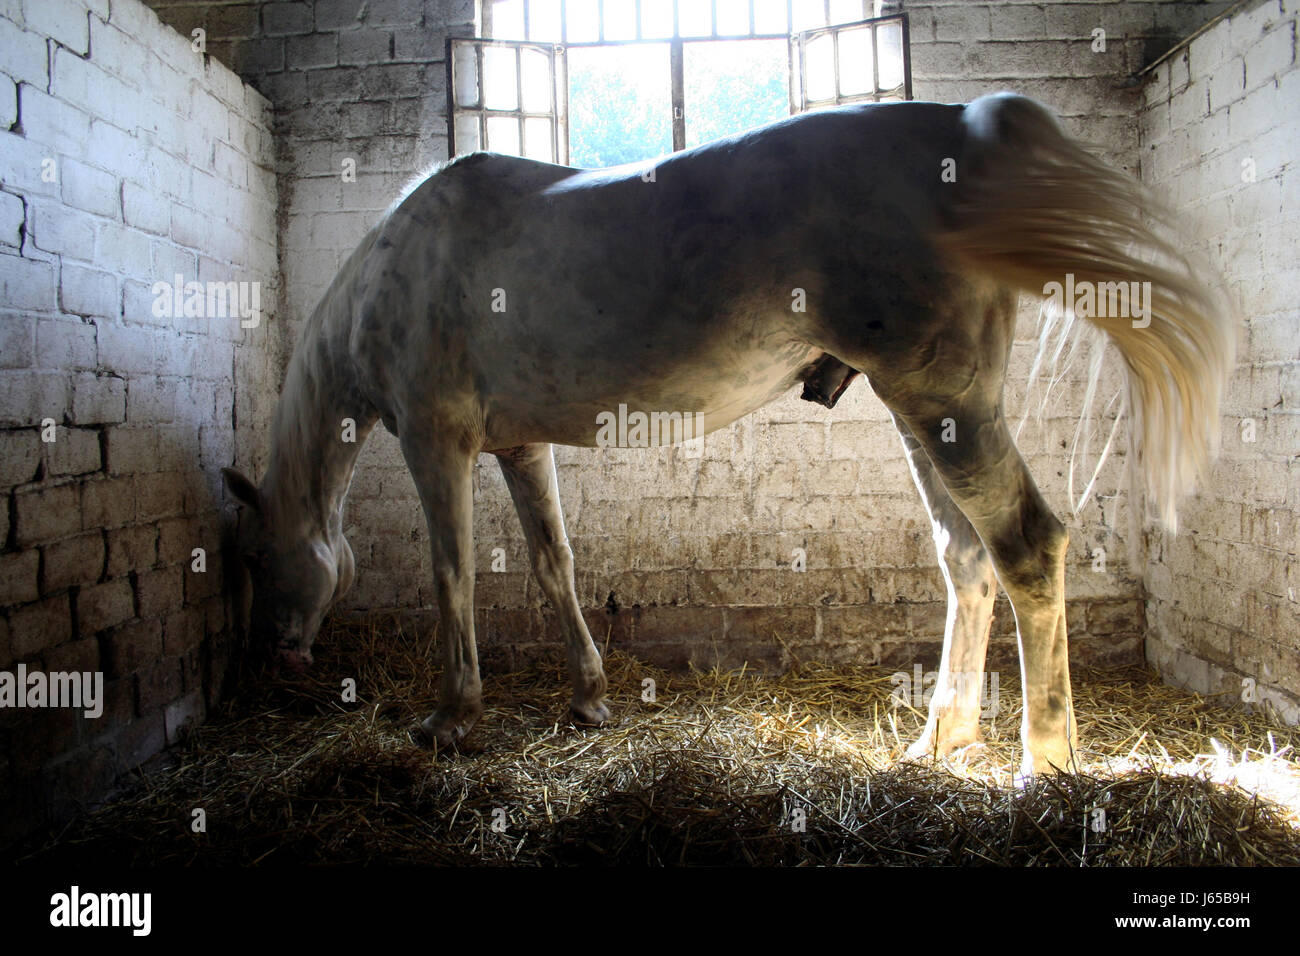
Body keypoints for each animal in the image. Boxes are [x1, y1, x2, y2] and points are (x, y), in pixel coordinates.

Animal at [221, 92, 1232, 779]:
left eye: (260, 559)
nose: (277, 661)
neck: (394, 269)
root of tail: (963, 132)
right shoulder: (520, 447)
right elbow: (554, 565)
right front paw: (588, 697)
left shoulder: (436, 443)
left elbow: (453, 575)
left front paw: (450, 718)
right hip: (924, 412)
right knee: (967, 559)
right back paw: (938, 739)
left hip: (947, 408)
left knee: (1025, 545)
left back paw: (1043, 764)